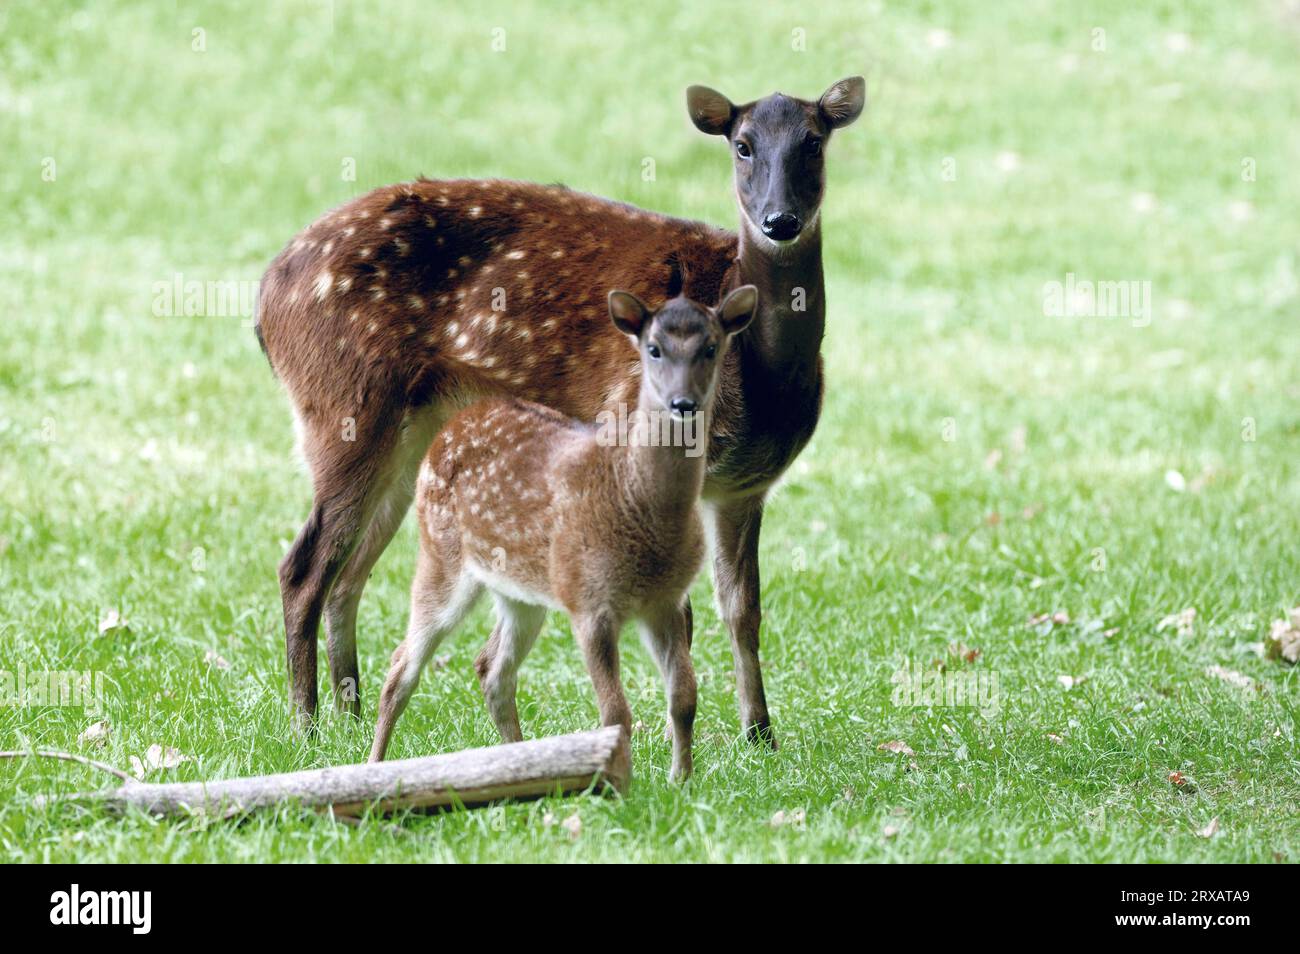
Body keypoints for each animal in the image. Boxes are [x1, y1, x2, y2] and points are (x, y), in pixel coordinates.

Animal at [367, 285, 759, 779]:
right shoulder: (588, 601)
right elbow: (615, 712)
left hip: (522, 590)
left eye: (711, 347)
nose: (683, 404)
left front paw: (680, 780)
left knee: (492, 670)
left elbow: (684, 697)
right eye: (653, 348)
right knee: (403, 663)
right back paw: (372, 766)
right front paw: (622, 782)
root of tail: (450, 426)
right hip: (441, 554)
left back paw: (520, 763)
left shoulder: (665, 600)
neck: (636, 501)